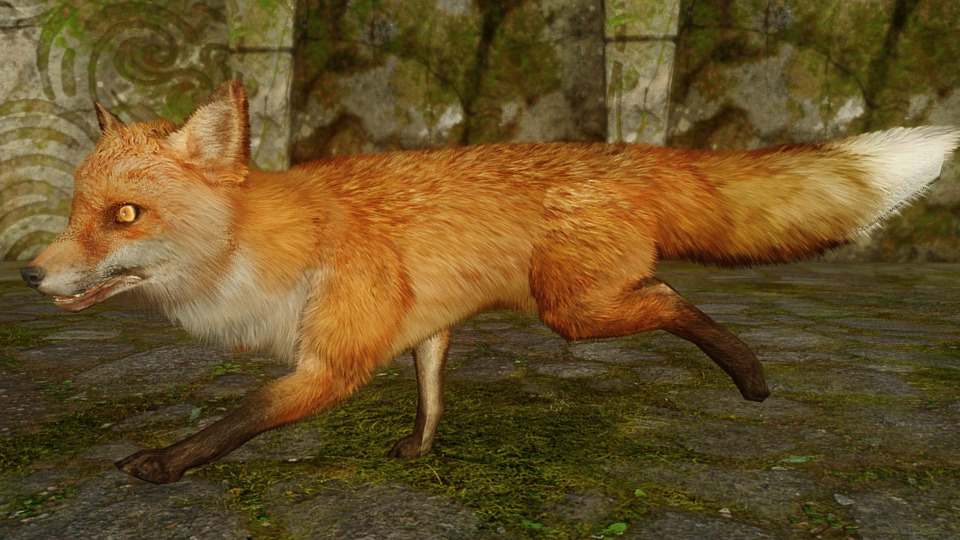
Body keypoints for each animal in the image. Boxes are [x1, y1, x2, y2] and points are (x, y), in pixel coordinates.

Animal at [20, 81, 960, 484]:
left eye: (125, 216)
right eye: (75, 208)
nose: (29, 272)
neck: (267, 247)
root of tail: (624, 155)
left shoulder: (330, 364)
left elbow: (233, 421)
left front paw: (160, 464)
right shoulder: (426, 326)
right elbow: (433, 393)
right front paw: (418, 450)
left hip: (575, 310)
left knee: (667, 297)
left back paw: (753, 377)